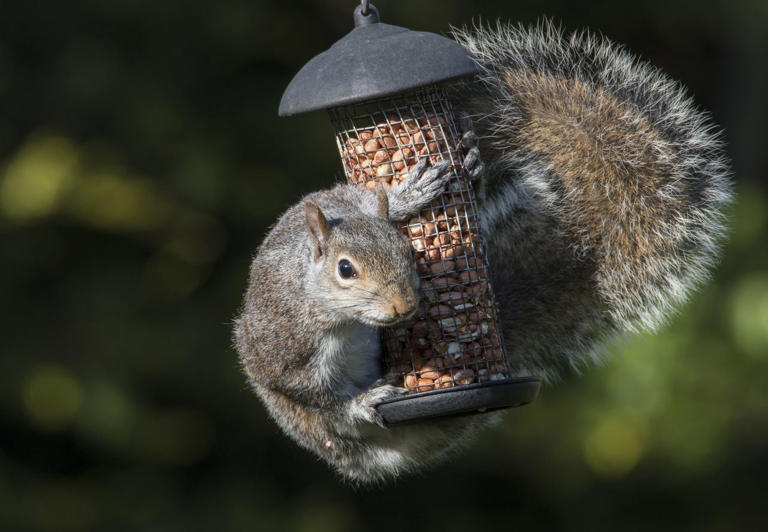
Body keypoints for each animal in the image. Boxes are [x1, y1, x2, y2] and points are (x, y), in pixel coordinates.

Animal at [233, 22, 733, 483]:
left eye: (407, 253)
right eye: (345, 269)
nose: (403, 306)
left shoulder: (340, 200)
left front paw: (410, 194)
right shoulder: (286, 349)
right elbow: (319, 396)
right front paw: (363, 400)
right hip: (314, 428)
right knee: (333, 423)